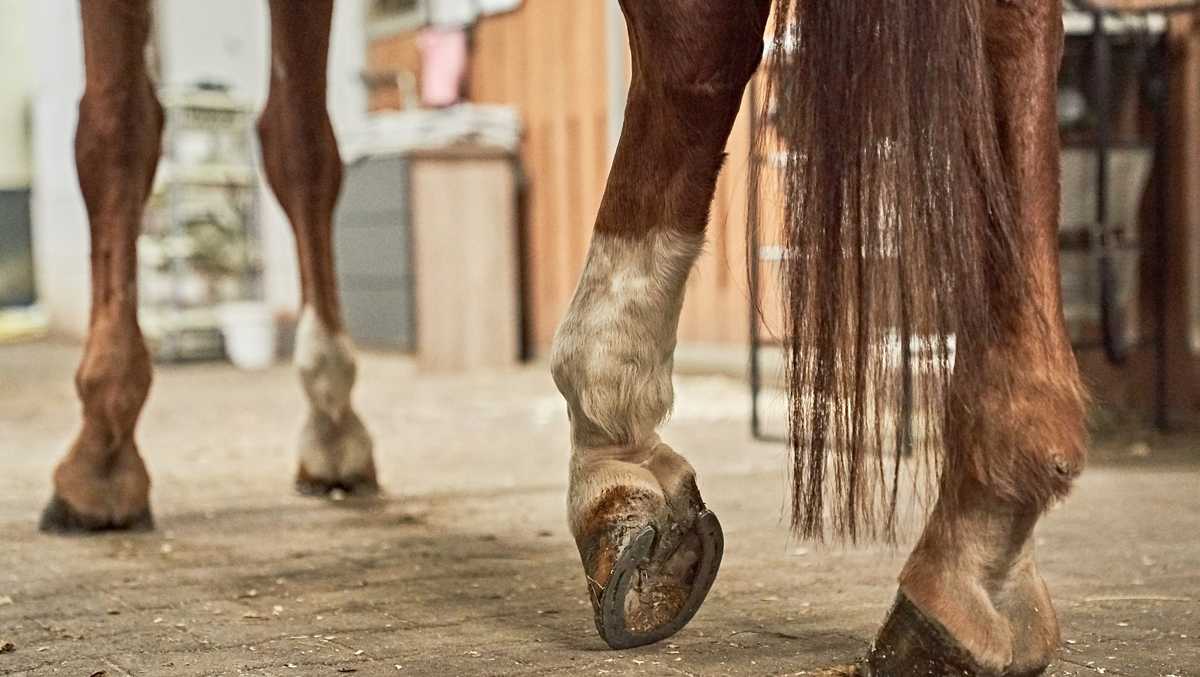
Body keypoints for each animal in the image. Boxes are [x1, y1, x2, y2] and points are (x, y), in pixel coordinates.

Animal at [46, 1, 1083, 674]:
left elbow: (115, 130)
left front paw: (101, 453)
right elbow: (300, 142)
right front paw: (333, 427)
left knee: (698, 47)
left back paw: (611, 442)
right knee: (1014, 34)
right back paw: (985, 523)